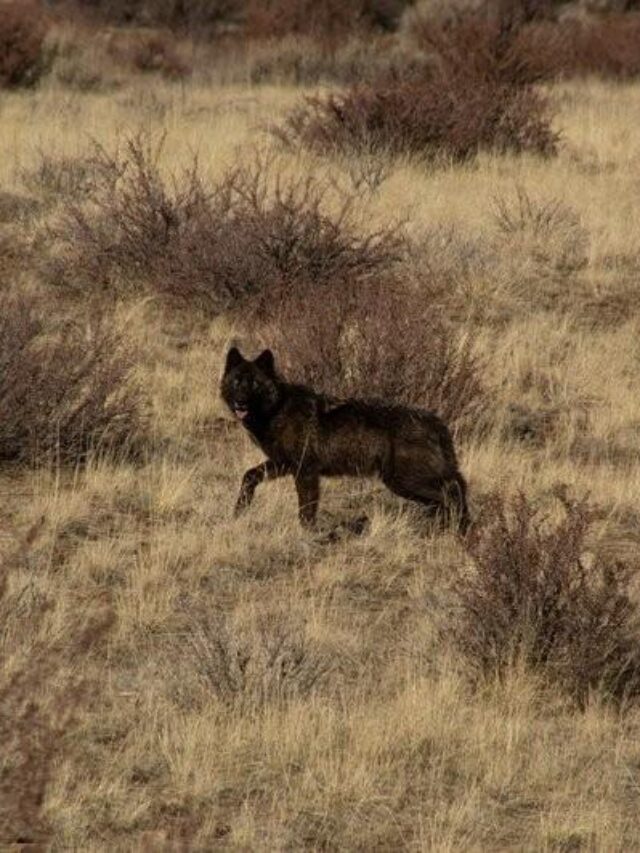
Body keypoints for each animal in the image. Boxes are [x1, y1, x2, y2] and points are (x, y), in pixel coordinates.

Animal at [221, 347, 470, 532]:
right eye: (236, 382)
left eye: (254, 383)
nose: (240, 402)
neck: (277, 410)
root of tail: (436, 421)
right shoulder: (283, 464)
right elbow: (249, 476)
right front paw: (239, 510)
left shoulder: (305, 471)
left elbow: (306, 509)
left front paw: (306, 535)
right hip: (405, 483)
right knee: (455, 489)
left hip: (404, 482)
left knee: (452, 492)